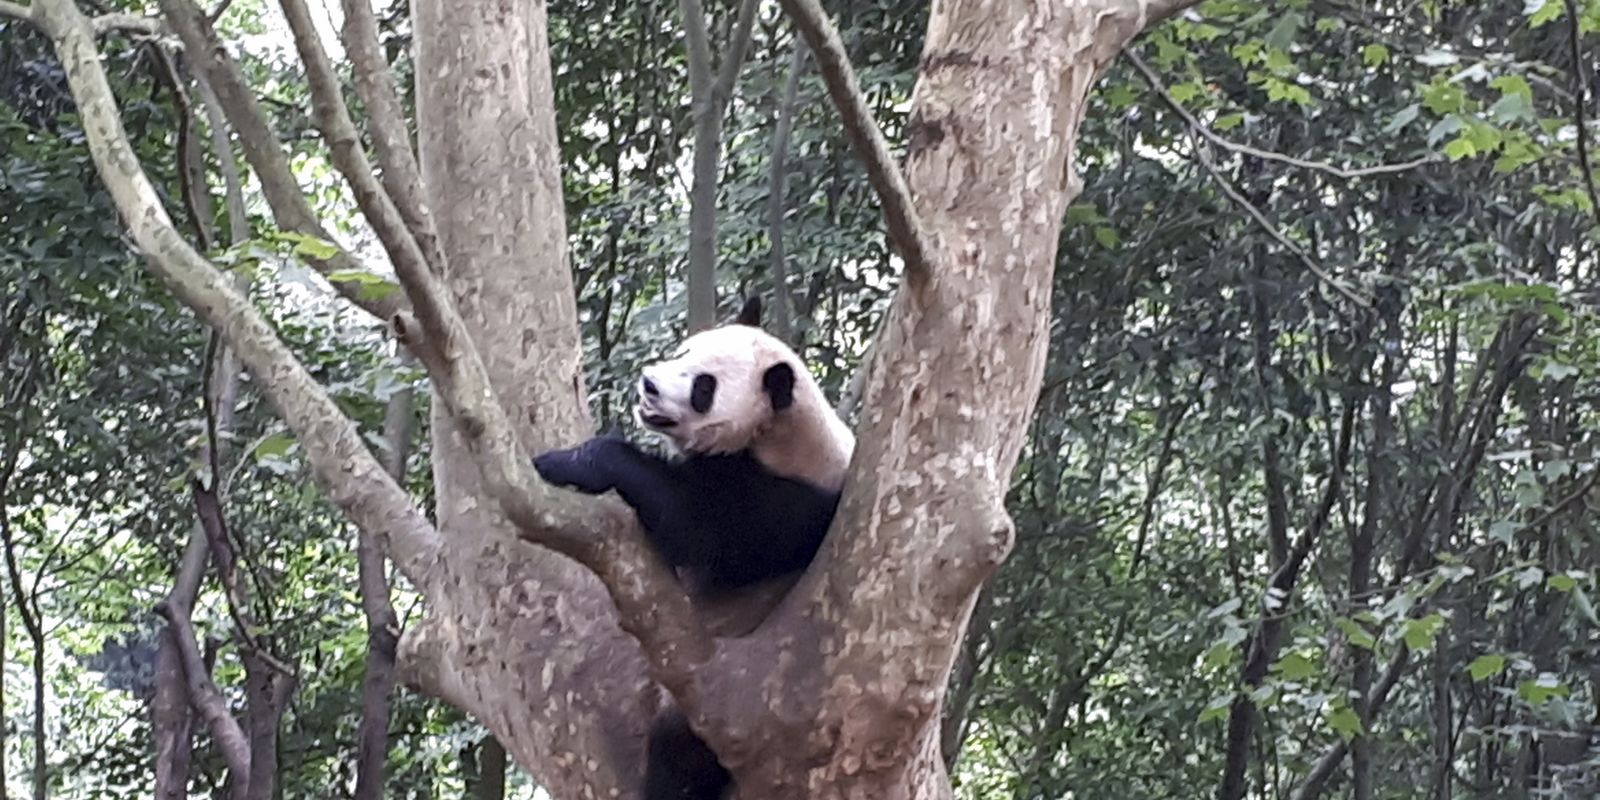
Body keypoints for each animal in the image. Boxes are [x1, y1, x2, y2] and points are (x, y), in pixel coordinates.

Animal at [531, 296, 855, 800]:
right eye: (684, 350)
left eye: (705, 387)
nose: (649, 383)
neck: (780, 432)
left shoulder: (785, 504)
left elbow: (694, 524)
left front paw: (573, 462)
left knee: (678, 756)